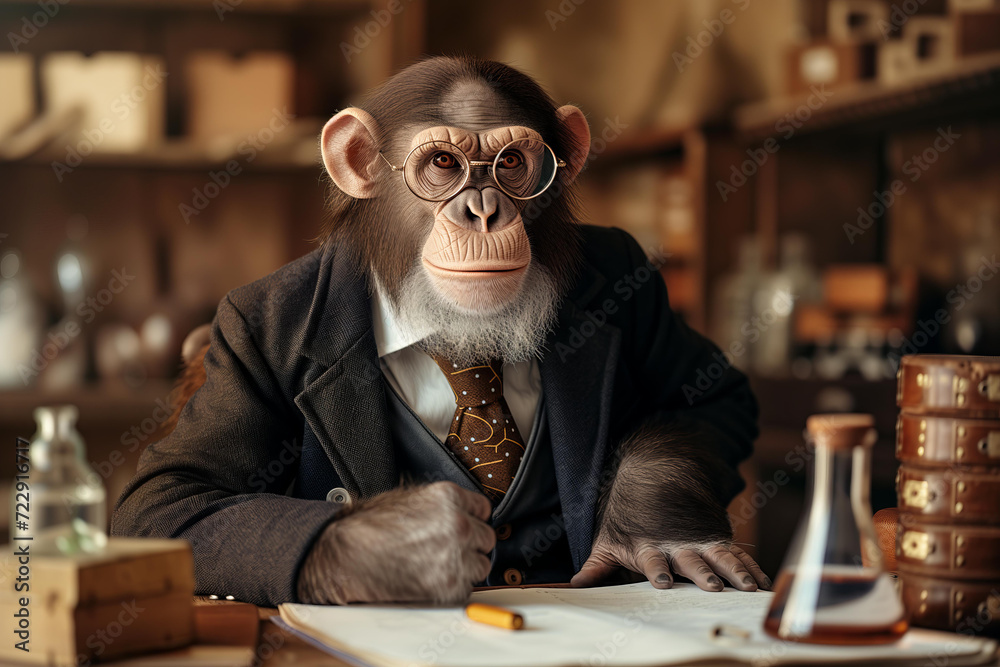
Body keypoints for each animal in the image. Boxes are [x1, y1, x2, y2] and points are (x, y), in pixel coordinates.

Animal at [112, 56, 765, 608]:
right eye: (444, 165)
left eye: (512, 165)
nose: (483, 211)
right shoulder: (243, 334)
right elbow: (175, 491)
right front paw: (401, 545)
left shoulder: (636, 279)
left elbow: (712, 398)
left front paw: (654, 529)